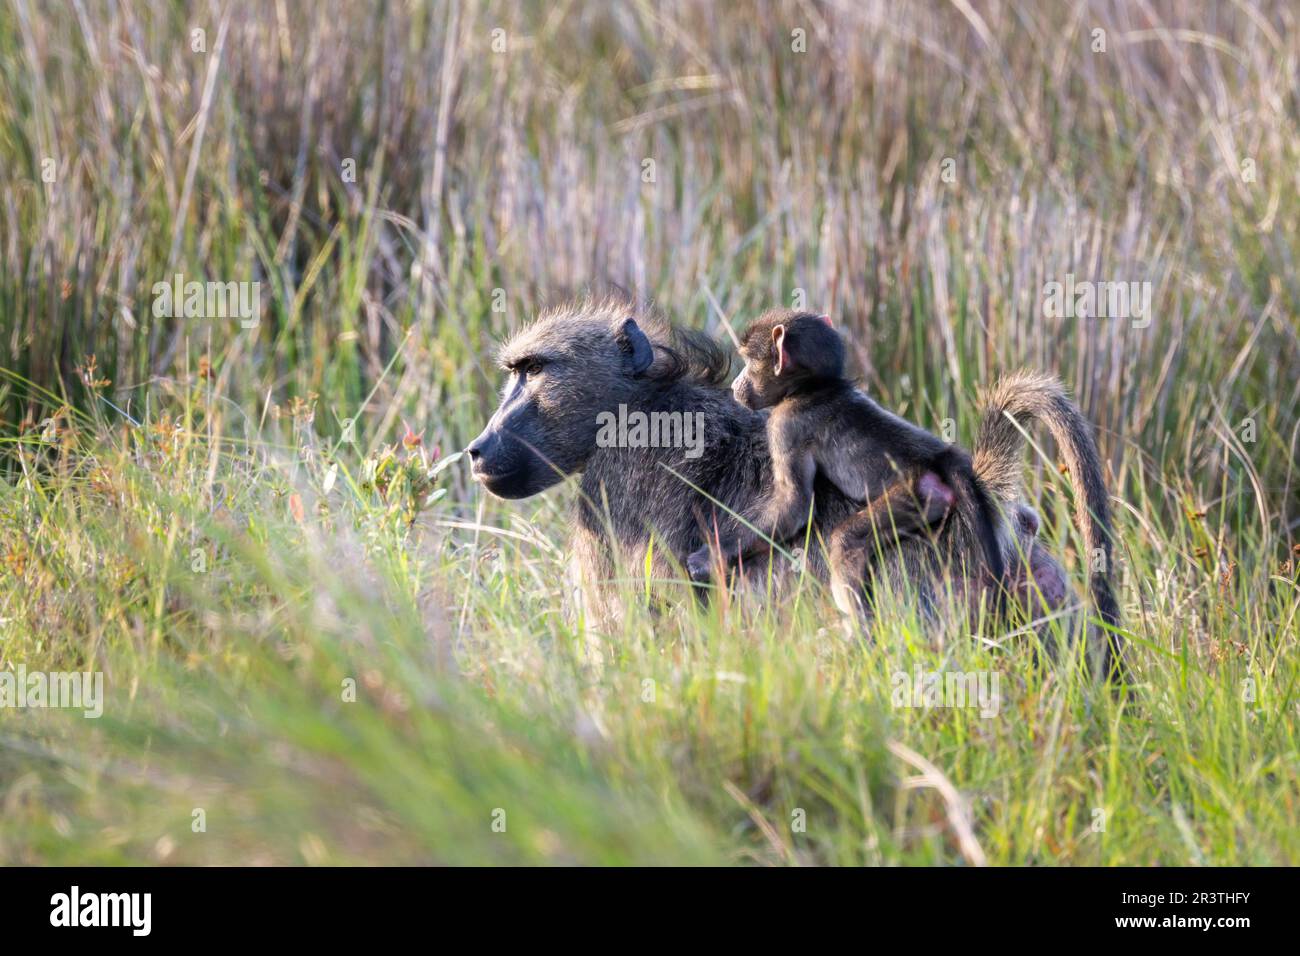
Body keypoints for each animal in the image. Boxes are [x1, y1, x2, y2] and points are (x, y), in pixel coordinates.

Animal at [684, 310, 1010, 607]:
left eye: (749, 362)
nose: (735, 386)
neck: (814, 388)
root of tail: (937, 458)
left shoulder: (784, 425)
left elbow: (793, 506)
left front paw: (706, 558)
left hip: (917, 494)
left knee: (845, 541)